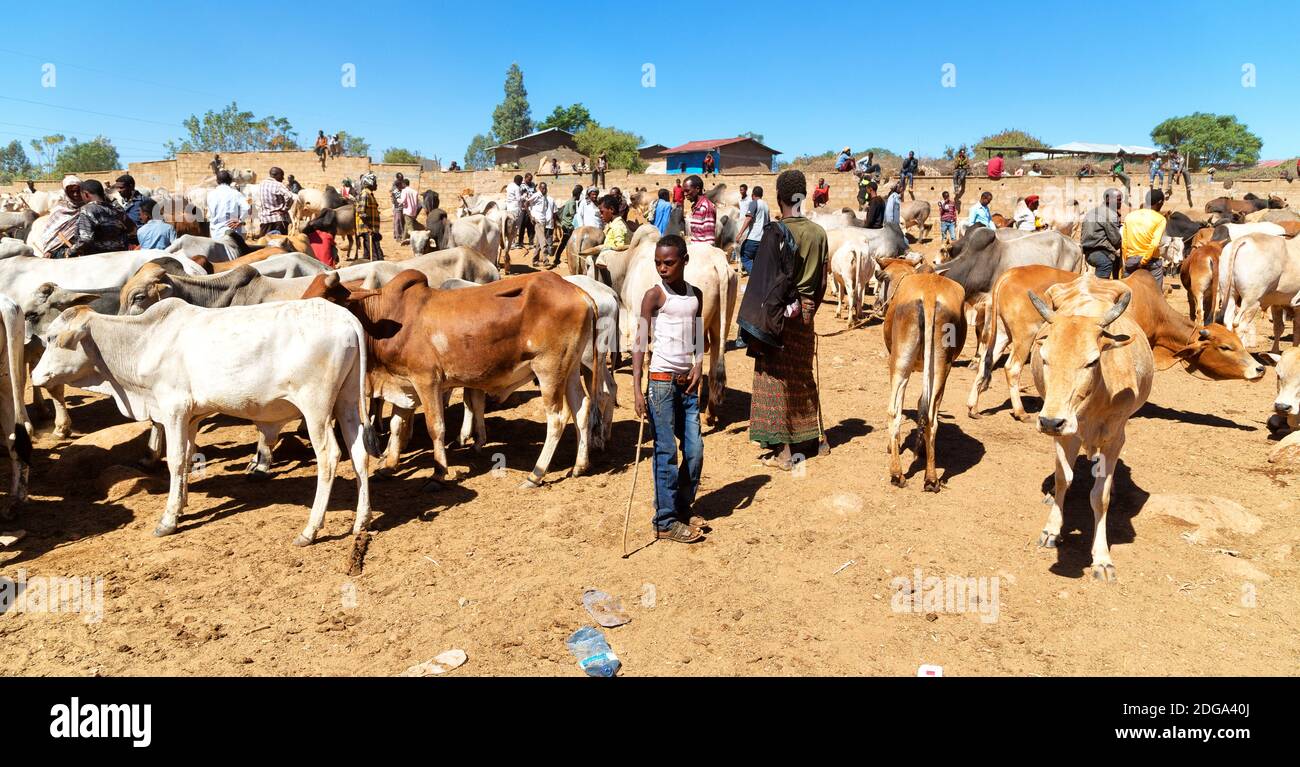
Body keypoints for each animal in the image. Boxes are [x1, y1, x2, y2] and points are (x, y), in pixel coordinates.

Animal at [30, 299, 380, 544]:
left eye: (52, 337)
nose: (35, 375)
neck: (143, 342)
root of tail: (346, 318)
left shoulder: (173, 409)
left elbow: (174, 460)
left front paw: (167, 520)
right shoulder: (191, 416)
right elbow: (186, 458)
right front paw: (182, 505)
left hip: (316, 407)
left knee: (330, 457)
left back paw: (310, 530)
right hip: (347, 402)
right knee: (359, 454)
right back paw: (361, 521)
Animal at [303, 270, 597, 488]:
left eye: (326, 301)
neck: (385, 322)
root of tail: (580, 294)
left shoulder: (427, 381)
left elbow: (436, 427)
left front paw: (438, 473)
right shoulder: (404, 385)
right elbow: (397, 425)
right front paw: (389, 465)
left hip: (549, 370)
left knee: (557, 419)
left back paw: (536, 474)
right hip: (570, 369)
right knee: (582, 409)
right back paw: (580, 466)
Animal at [882, 272, 967, 491]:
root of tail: (929, 295)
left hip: (901, 363)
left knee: (897, 410)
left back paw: (900, 474)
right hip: (939, 366)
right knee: (926, 415)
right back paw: (928, 478)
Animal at [1028, 280, 1154, 582]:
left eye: (1092, 361)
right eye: (1045, 358)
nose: (1049, 422)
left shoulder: (1115, 438)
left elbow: (1100, 497)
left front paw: (1102, 558)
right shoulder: (1066, 436)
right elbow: (1064, 478)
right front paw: (1052, 530)